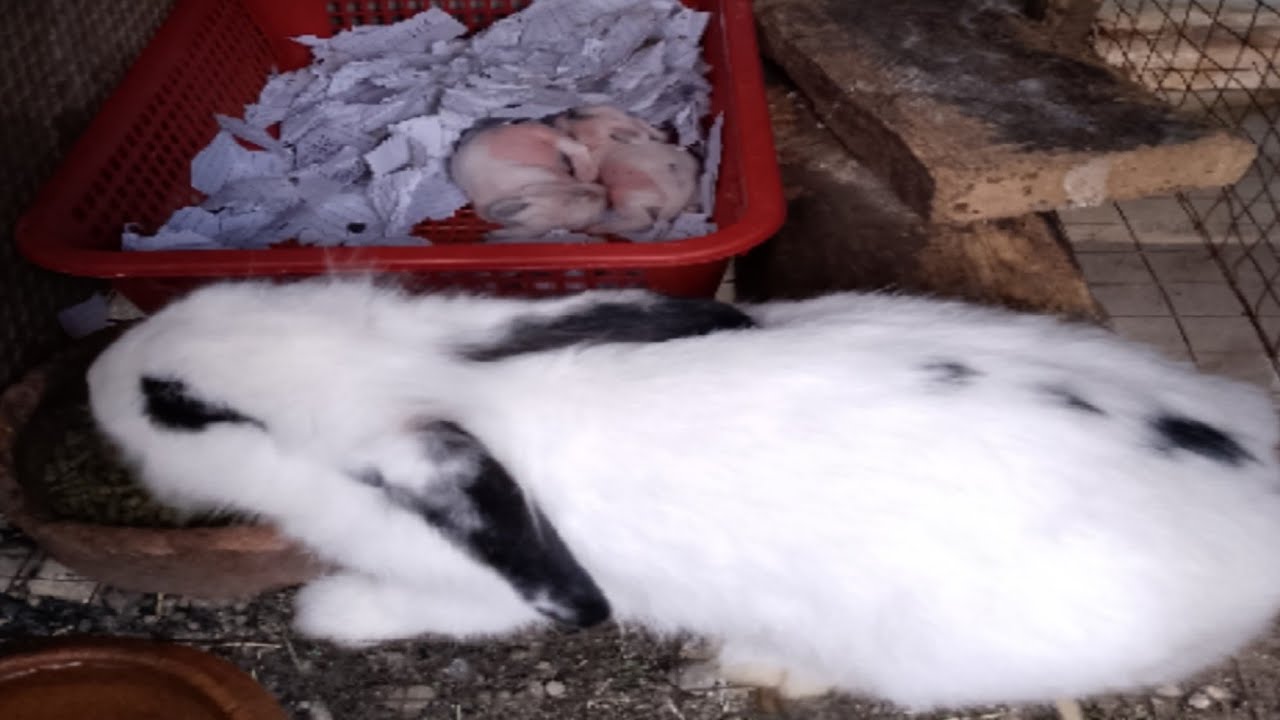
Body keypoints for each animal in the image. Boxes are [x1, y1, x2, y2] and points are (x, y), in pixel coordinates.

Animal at [86, 277, 1280, 715]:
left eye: (182, 407)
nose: (96, 378)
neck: (433, 376)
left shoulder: (465, 584)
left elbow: (400, 602)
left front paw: (323, 611)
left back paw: (766, 663)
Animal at [554, 105, 700, 233]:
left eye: (572, 134)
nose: (567, 111)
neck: (606, 143)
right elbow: (639, 126)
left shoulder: (591, 166)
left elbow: (586, 174)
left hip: (624, 196)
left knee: (643, 221)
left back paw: (598, 228)